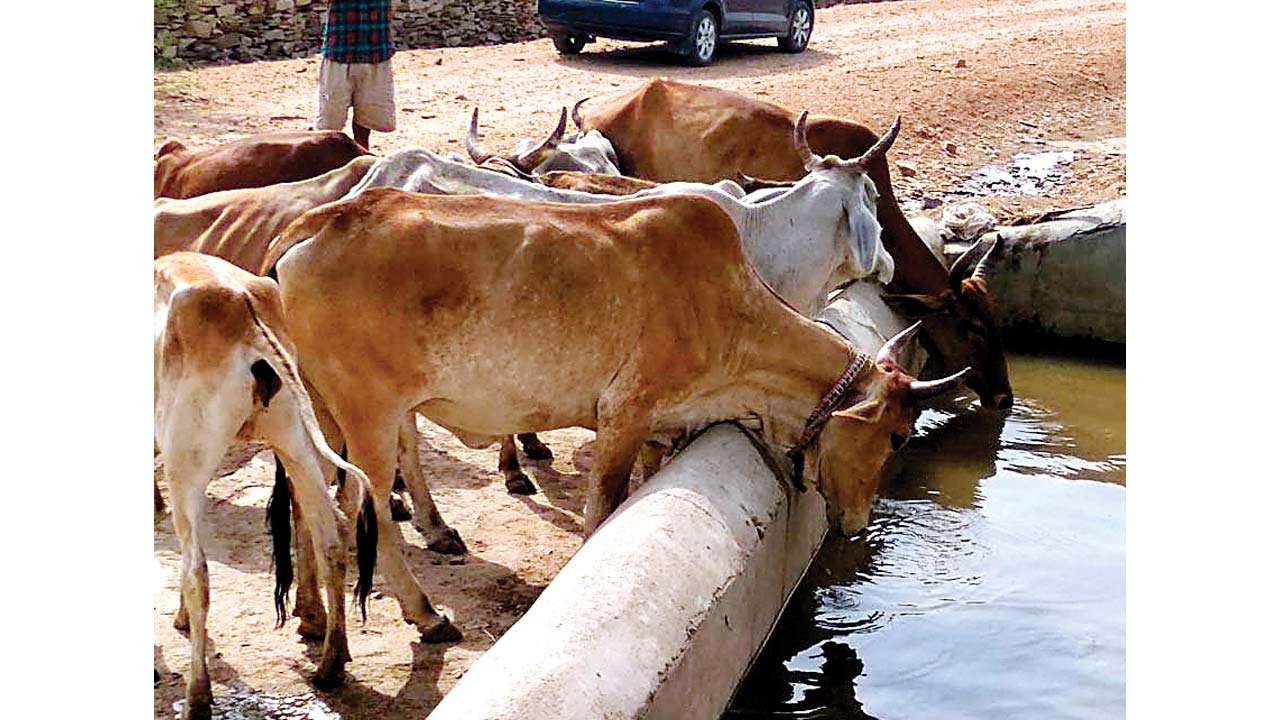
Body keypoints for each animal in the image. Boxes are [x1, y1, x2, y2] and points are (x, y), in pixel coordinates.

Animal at [154, 252, 378, 719]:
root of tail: (246, 311)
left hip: (186, 461)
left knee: (196, 568)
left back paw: (197, 697)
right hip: (293, 437)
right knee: (331, 533)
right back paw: (331, 663)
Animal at [272, 188, 968, 636]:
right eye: (898, 435)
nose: (854, 524)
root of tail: (315, 223)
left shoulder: (662, 430)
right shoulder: (625, 412)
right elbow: (602, 508)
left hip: (320, 412)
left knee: (310, 502)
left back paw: (311, 617)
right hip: (369, 415)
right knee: (363, 510)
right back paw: (424, 613)